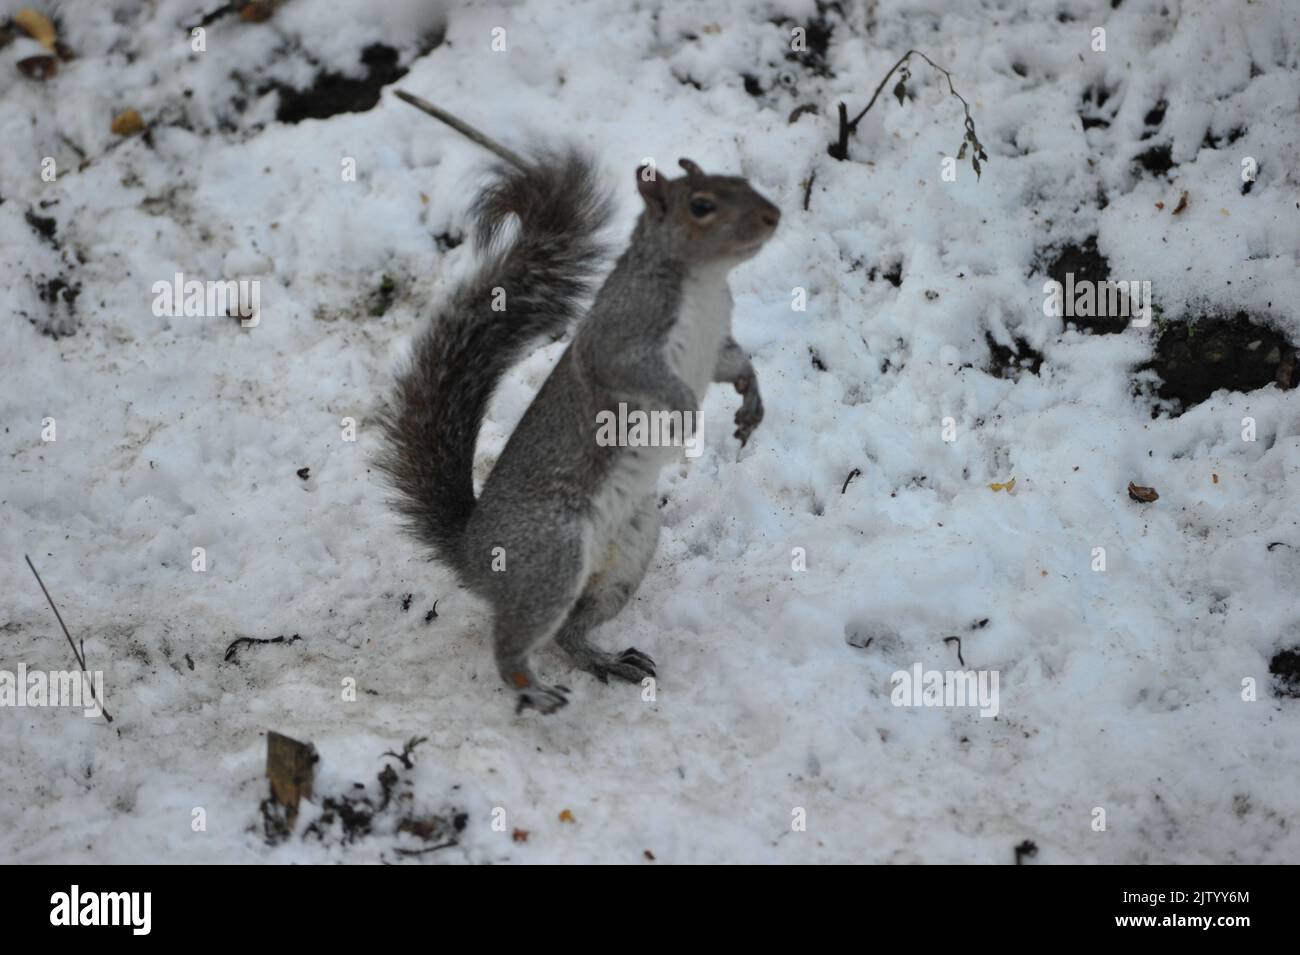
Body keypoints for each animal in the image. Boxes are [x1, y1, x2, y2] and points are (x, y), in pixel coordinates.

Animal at [378, 91, 780, 714]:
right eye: (702, 205)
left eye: (741, 181)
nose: (773, 217)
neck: (706, 282)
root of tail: (474, 557)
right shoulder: (619, 340)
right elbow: (641, 375)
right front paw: (685, 411)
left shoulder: (715, 343)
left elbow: (733, 364)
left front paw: (751, 402)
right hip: (553, 557)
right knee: (514, 639)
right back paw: (532, 689)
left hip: (630, 549)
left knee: (569, 632)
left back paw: (605, 660)